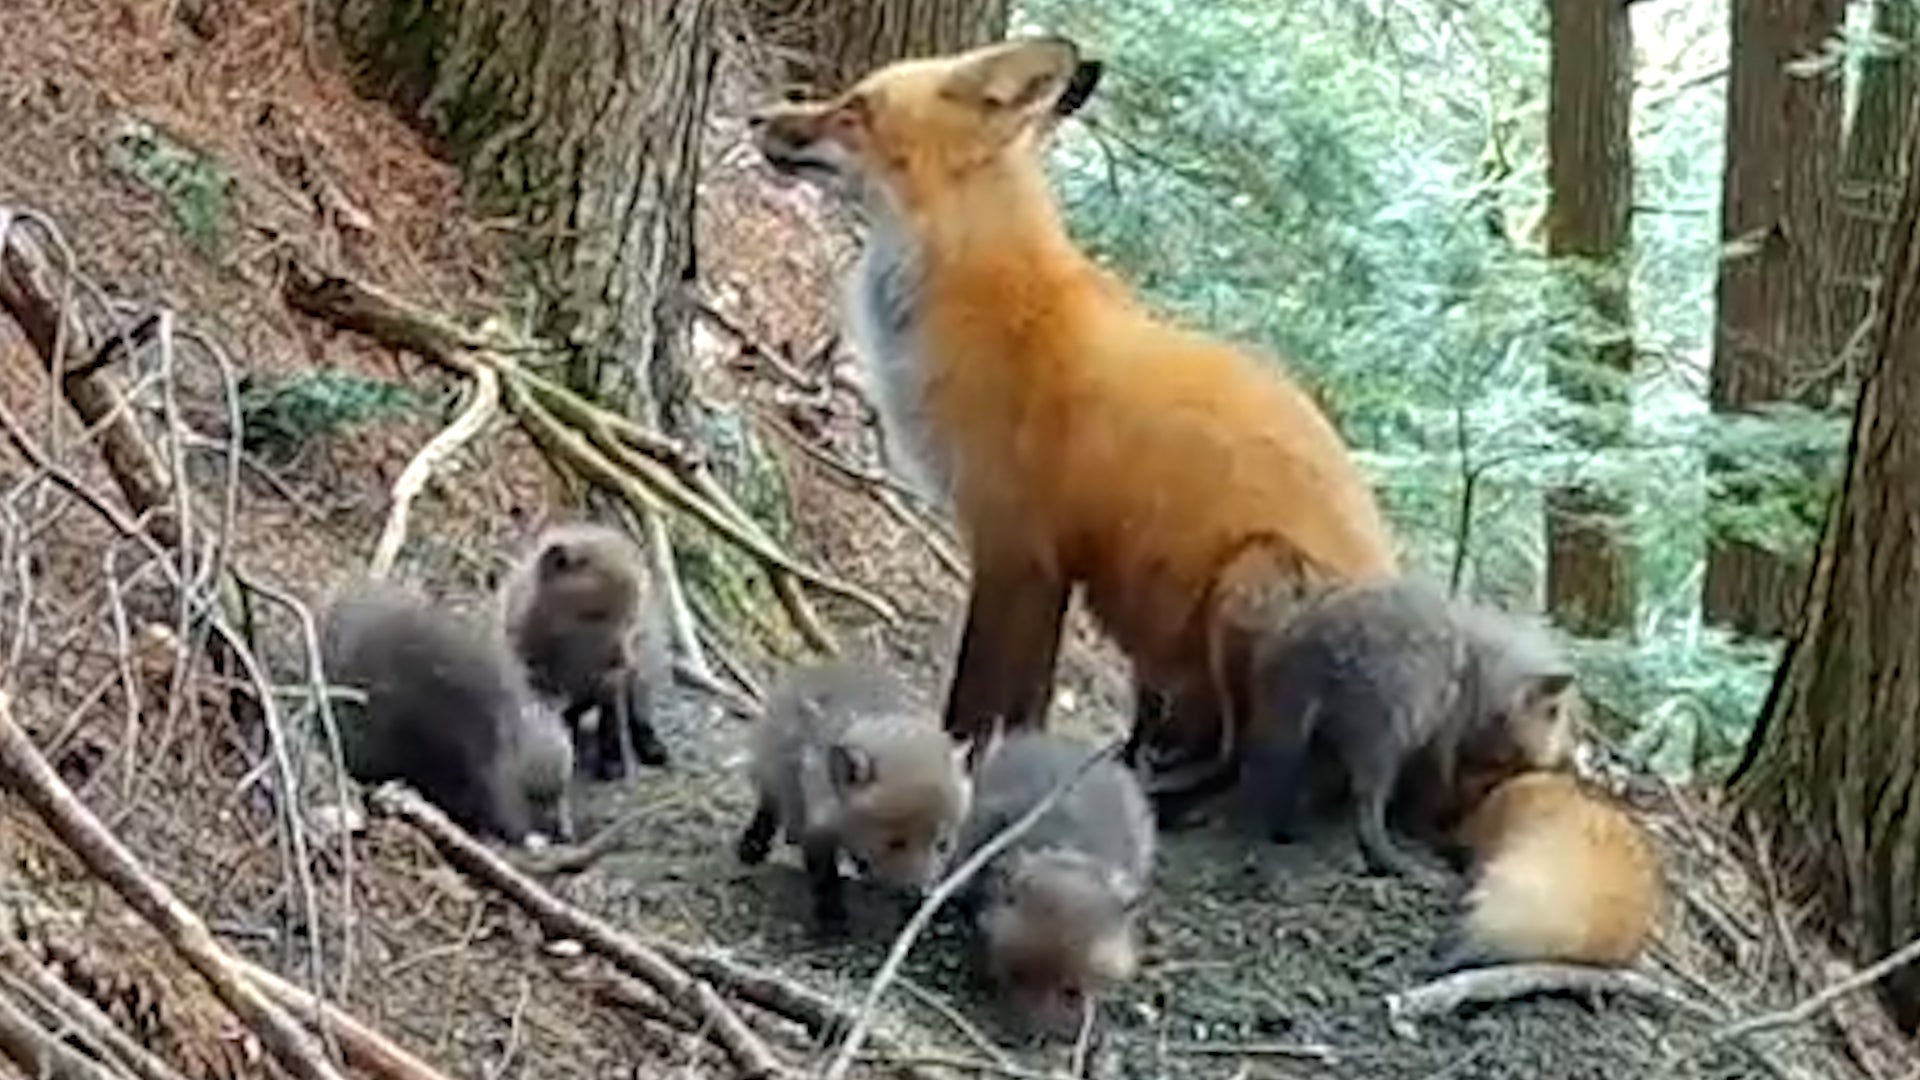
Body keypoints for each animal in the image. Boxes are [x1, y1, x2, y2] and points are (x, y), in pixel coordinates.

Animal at [498, 522, 672, 781]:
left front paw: (612, 763)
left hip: (643, 672)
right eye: (595, 616)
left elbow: (611, 725)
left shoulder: (611, 680)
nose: (623, 658)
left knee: (637, 713)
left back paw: (649, 746)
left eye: (630, 618)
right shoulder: (531, 672)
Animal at [737, 662, 974, 932]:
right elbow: (825, 876)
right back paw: (753, 845)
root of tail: (824, 667)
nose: (918, 893)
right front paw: (831, 917)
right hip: (772, 770)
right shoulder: (819, 826)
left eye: (943, 845)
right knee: (769, 806)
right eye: (894, 843)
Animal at [750, 36, 1398, 775]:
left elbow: (976, 706)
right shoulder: (1042, 567)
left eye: (855, 109)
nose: (756, 117)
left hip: (1253, 576)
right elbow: (1024, 710)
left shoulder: (1016, 549)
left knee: (1241, 755)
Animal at [1236, 577, 1580, 879]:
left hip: (1284, 721)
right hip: (1386, 725)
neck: (1482, 673)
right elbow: (1436, 785)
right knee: (1367, 803)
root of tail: (1314, 645)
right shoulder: (1443, 733)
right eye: (1553, 712)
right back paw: (1398, 859)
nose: (1568, 762)